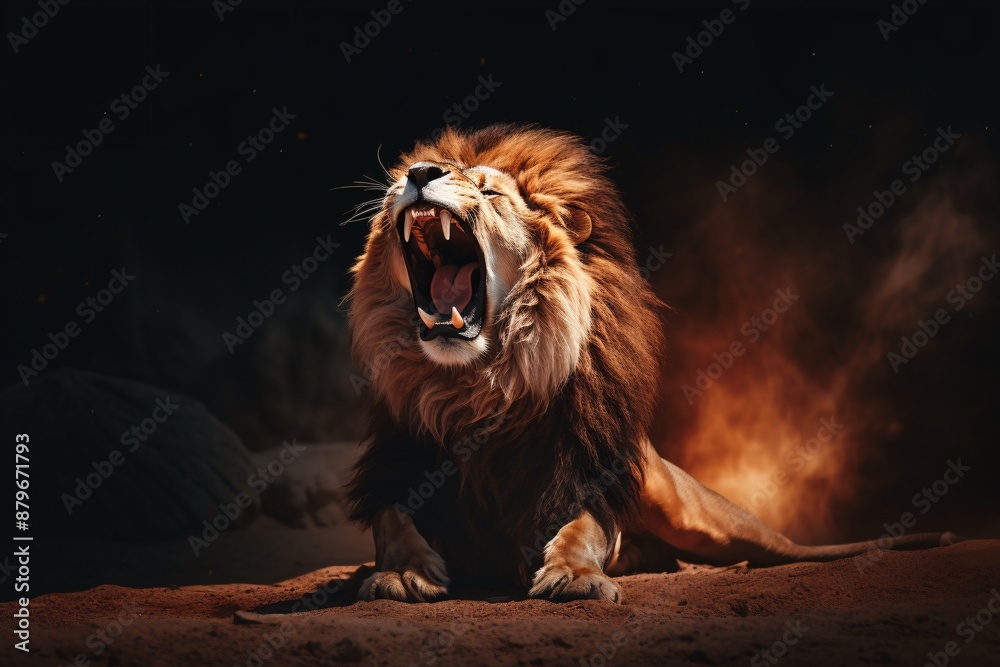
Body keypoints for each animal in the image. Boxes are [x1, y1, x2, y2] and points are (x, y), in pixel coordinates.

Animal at [344, 124, 960, 603]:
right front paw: (404, 572)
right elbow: (393, 521)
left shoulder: (586, 476)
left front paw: (573, 574)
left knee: (788, 547)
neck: (476, 386)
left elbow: (583, 529)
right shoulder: (397, 470)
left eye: (489, 190)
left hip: (698, 514)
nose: (418, 173)